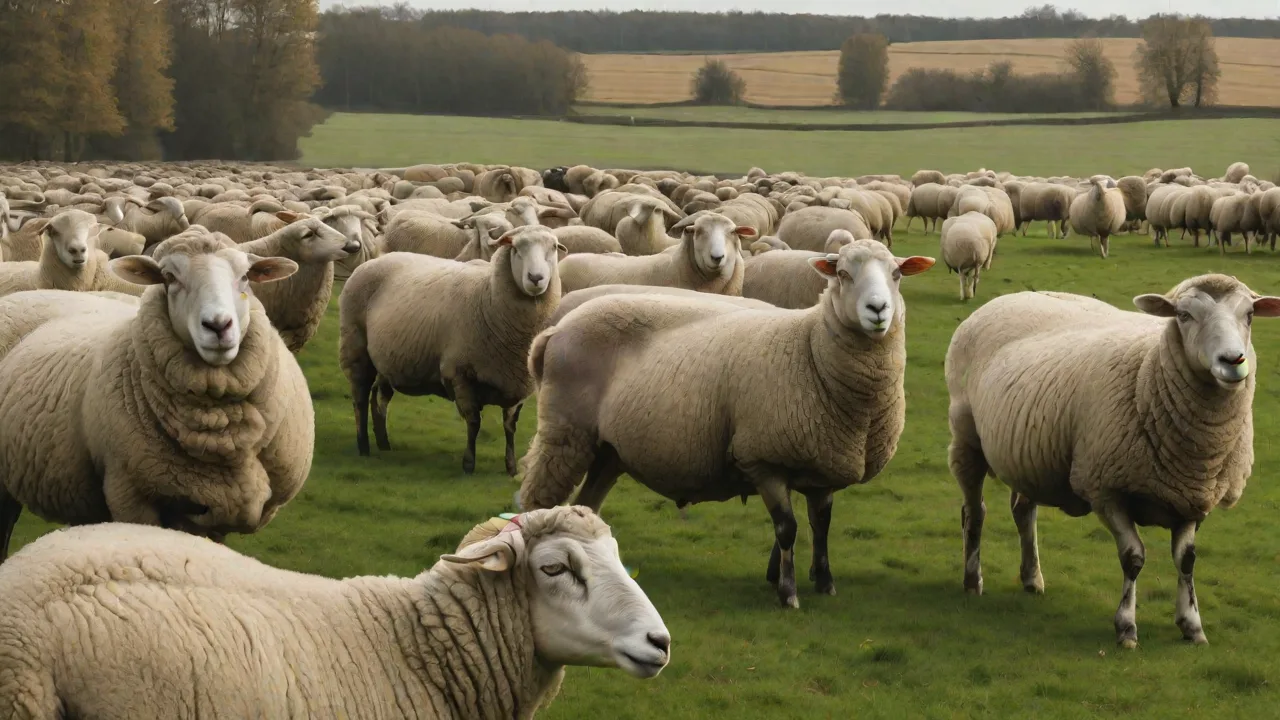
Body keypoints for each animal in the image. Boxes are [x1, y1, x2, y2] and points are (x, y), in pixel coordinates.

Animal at [0, 229, 311, 559]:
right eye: (169, 277)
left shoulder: (217, 513)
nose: (218, 326)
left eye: (245, 277)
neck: (219, 430)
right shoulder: (131, 496)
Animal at [340, 226, 566, 475]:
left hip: (388, 357)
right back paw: (363, 445)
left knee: (379, 397)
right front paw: (468, 464)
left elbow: (510, 427)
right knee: (360, 398)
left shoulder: (517, 384)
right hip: (355, 344)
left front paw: (511, 466)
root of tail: (375, 260)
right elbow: (474, 422)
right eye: (515, 248)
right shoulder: (459, 373)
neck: (488, 294)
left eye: (553, 247)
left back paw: (383, 442)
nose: (536, 278)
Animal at [518, 239, 935, 608]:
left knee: (587, 503)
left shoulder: (822, 465)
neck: (809, 349)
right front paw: (788, 593)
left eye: (897, 273)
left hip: (609, 450)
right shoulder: (762, 459)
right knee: (537, 500)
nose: (878, 309)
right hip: (565, 432)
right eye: (844, 274)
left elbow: (821, 525)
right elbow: (787, 529)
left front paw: (825, 582)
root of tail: (554, 331)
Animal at [945, 275, 1280, 646]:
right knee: (974, 512)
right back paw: (972, 581)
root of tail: (1008, 297)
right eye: (1183, 315)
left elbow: (1187, 560)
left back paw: (1032, 578)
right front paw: (1126, 627)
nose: (1233, 360)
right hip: (966, 435)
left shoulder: (1194, 495)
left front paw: (1192, 626)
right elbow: (1133, 558)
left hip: (1029, 455)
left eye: (1249, 314)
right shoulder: (1105, 489)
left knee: (1023, 512)